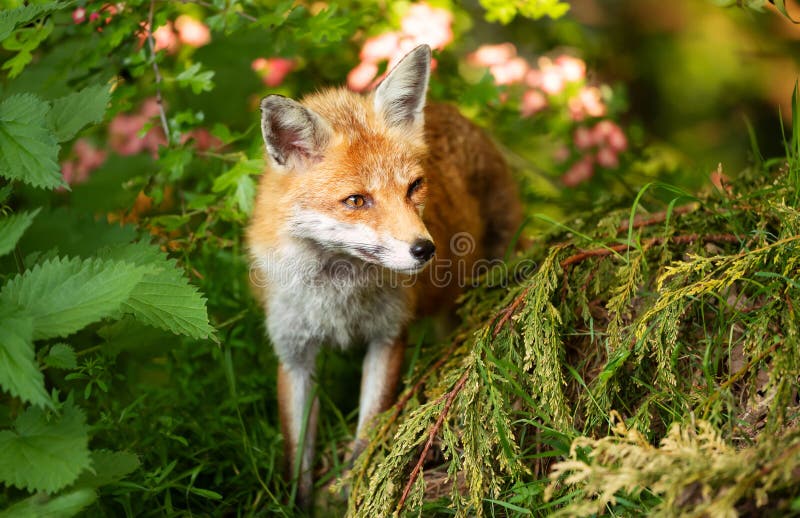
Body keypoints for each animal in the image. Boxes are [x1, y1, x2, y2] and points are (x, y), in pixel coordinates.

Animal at [246, 44, 522, 508]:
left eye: (414, 187)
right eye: (356, 200)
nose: (425, 250)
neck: (339, 296)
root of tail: (456, 113)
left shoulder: (388, 337)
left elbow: (366, 439)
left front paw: (354, 493)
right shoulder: (294, 353)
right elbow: (297, 456)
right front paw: (297, 506)